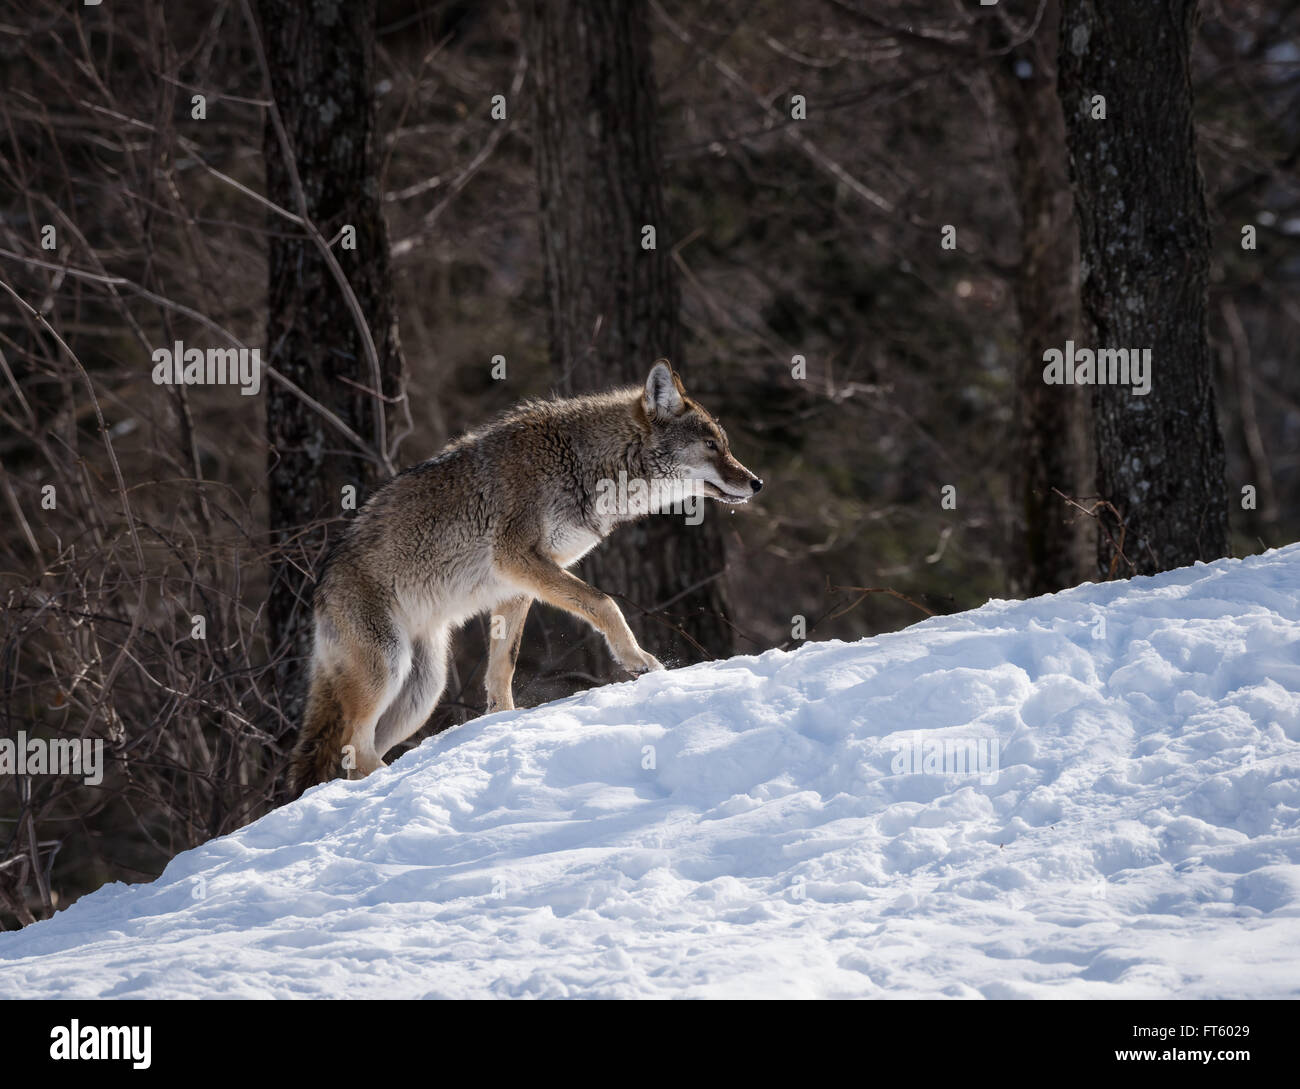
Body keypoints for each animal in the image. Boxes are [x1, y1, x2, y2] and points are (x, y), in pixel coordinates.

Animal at [287, 360, 762, 795]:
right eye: (711, 445)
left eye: (725, 446)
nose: (757, 482)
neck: (584, 463)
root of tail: (319, 588)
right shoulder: (519, 559)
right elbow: (605, 603)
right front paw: (638, 660)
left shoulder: (516, 586)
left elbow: (503, 668)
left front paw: (502, 722)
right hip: (389, 668)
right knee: (354, 748)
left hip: (423, 690)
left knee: (356, 752)